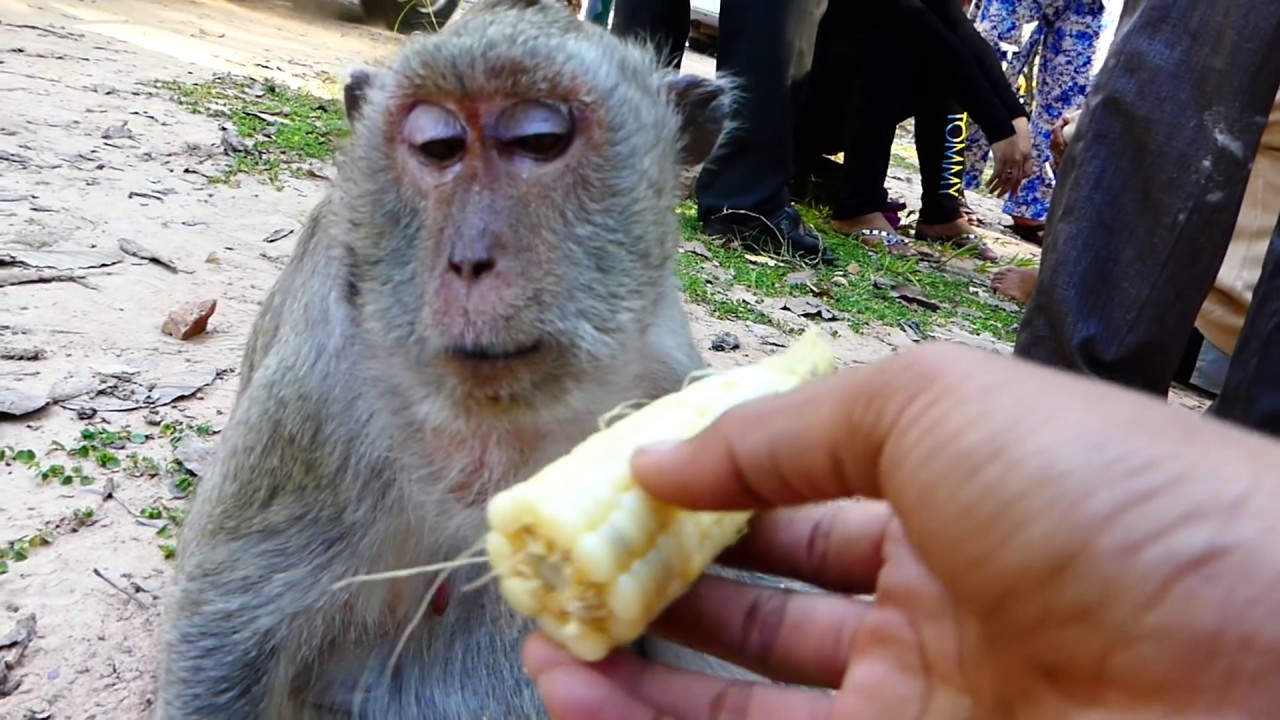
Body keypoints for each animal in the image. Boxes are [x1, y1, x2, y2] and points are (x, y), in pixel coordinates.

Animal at [152, 1, 771, 717]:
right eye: (438, 146)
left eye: (538, 140)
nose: (469, 259)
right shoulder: (320, 400)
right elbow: (225, 618)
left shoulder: (671, 391)